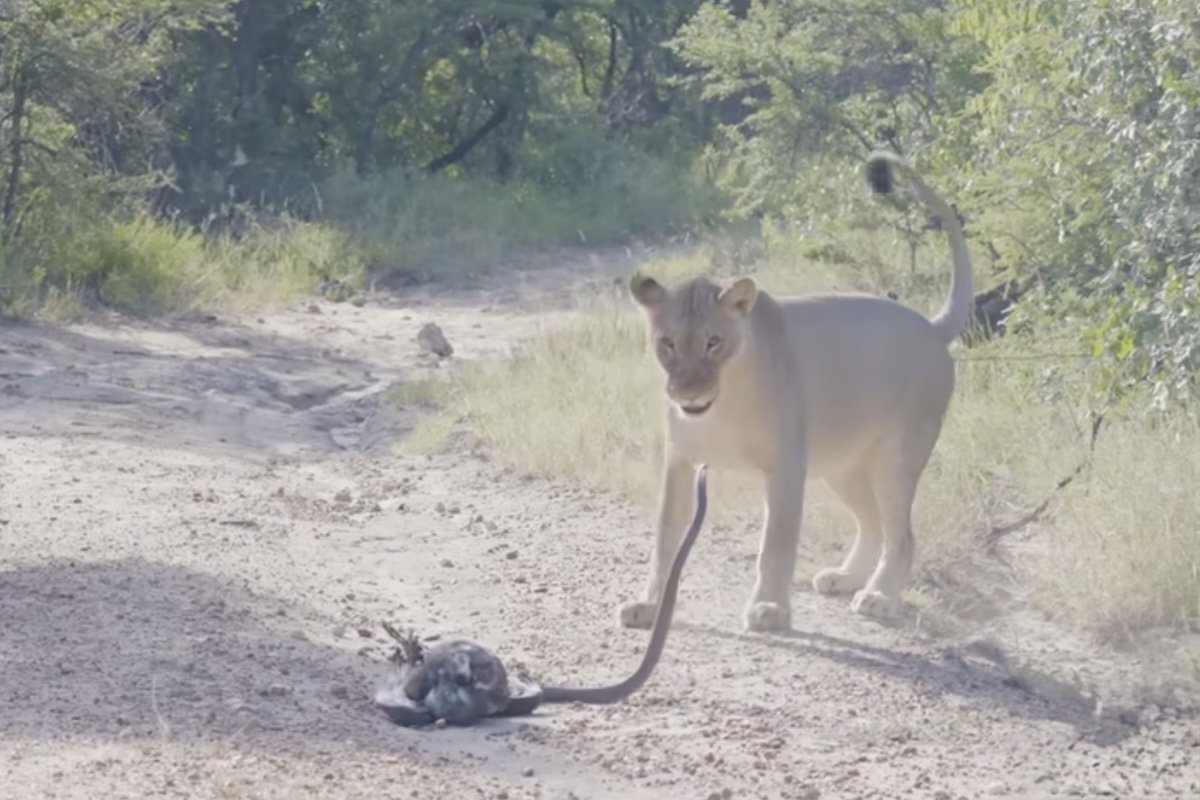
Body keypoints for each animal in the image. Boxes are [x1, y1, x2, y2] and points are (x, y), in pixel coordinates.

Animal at [621, 150, 971, 632]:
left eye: (714, 342)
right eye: (668, 344)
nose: (687, 393)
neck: (721, 406)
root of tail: (932, 328)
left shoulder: (786, 465)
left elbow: (776, 543)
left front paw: (770, 608)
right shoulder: (680, 463)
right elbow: (664, 542)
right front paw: (650, 606)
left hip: (897, 456)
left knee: (902, 534)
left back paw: (879, 597)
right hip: (842, 464)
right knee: (873, 522)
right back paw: (844, 577)